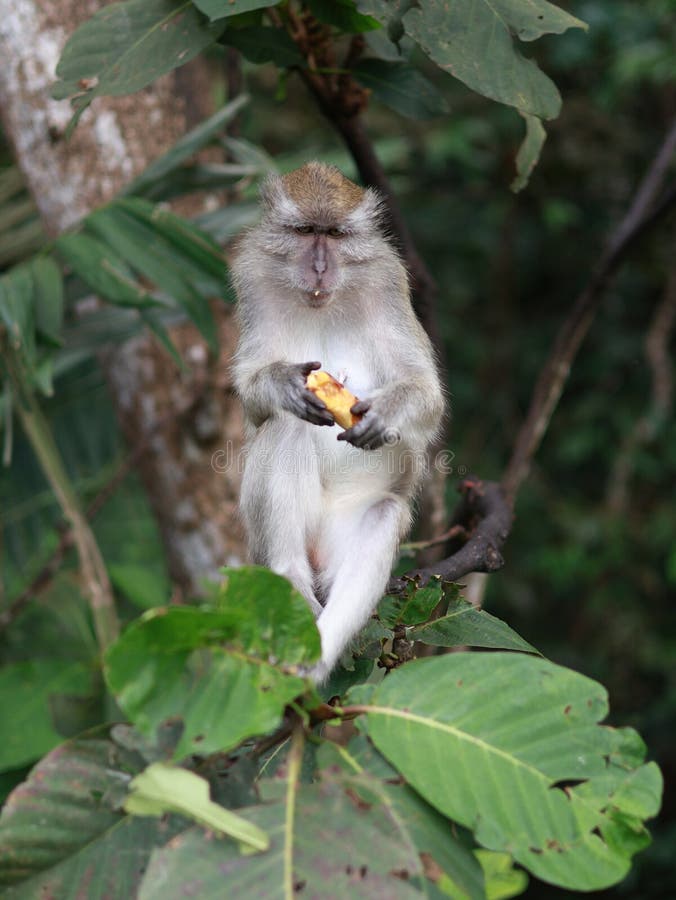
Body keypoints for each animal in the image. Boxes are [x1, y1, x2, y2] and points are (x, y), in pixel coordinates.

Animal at [232, 162, 444, 682]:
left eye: (334, 234)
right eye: (306, 231)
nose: (320, 267)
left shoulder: (389, 283)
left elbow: (426, 396)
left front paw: (389, 412)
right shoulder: (252, 277)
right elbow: (254, 398)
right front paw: (279, 383)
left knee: (383, 513)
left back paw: (314, 660)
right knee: (286, 425)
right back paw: (290, 580)